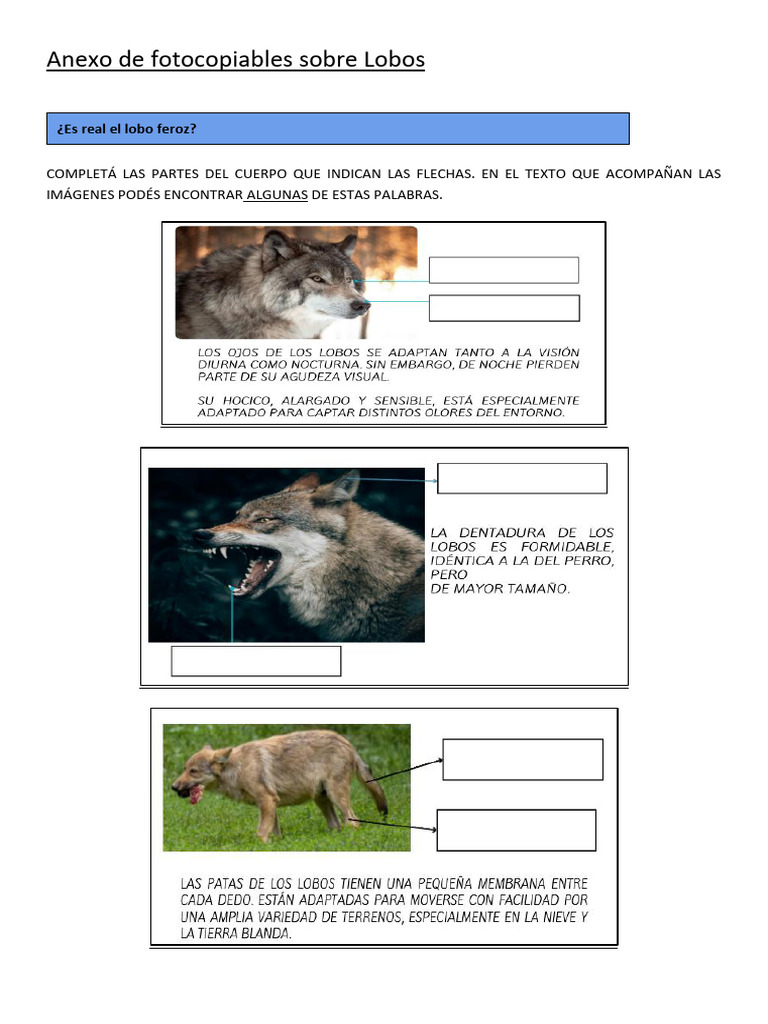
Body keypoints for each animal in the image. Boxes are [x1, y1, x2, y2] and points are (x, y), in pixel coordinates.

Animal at [171, 729, 389, 843]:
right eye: (185, 769)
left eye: (193, 771)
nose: (173, 787)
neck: (237, 768)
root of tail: (347, 742)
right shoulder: (270, 805)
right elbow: (273, 835)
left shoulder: (267, 801)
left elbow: (260, 834)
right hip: (321, 799)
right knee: (337, 825)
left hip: (337, 796)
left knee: (354, 822)